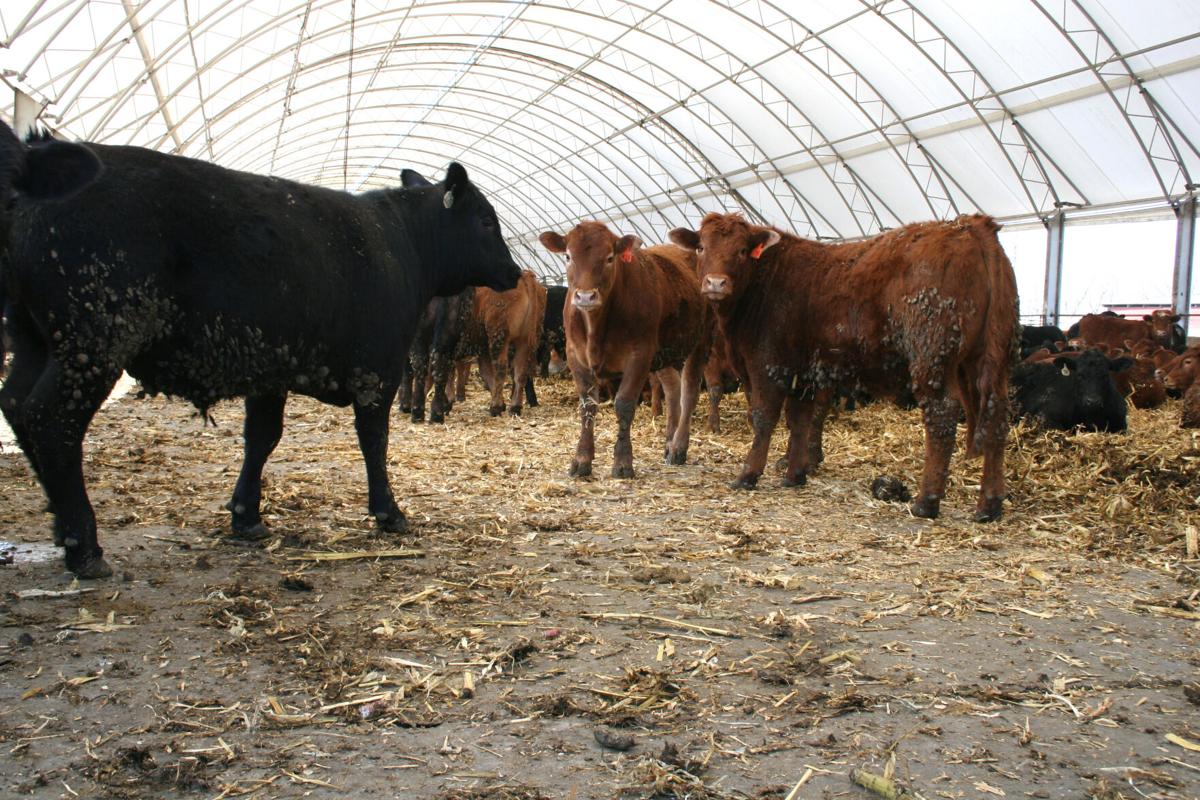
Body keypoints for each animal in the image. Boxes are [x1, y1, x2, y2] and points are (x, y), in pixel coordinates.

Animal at [398, 287, 475, 423]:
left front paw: (404, 404)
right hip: (452, 325)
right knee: (440, 365)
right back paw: (437, 412)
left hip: (419, 331)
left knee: (420, 365)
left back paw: (417, 411)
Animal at [539, 222, 708, 478]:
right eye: (568, 256)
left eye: (610, 257)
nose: (586, 296)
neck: (596, 327)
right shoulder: (575, 355)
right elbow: (587, 405)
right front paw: (581, 460)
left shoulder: (639, 355)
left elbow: (625, 404)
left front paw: (622, 462)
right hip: (664, 354)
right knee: (672, 389)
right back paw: (669, 443)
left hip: (700, 341)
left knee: (689, 392)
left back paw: (679, 448)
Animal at [670, 212, 1017, 522]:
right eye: (701, 247)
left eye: (742, 250)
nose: (716, 283)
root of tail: (969, 225)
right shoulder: (805, 372)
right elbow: (800, 419)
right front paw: (795, 475)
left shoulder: (768, 365)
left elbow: (764, 417)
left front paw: (748, 475)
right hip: (990, 360)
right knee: (997, 418)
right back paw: (989, 505)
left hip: (932, 357)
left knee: (942, 416)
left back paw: (926, 502)